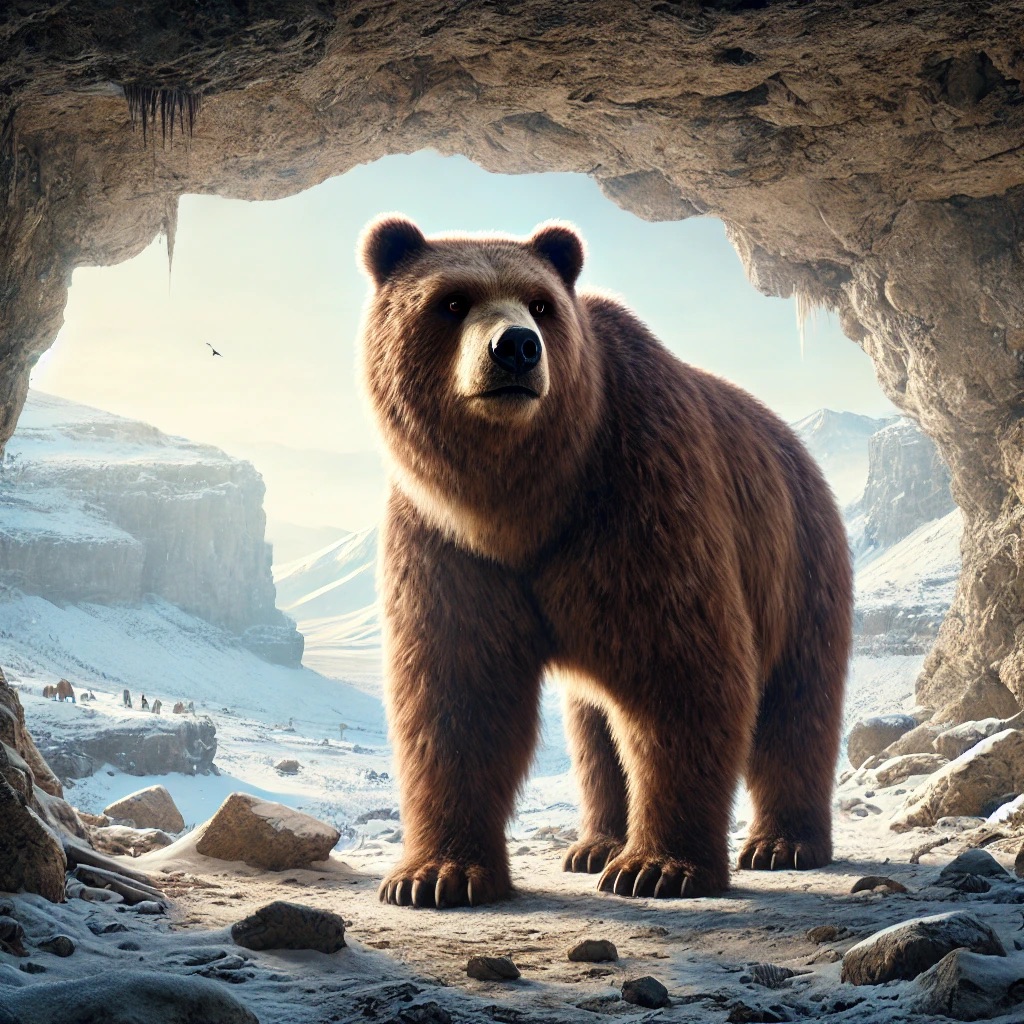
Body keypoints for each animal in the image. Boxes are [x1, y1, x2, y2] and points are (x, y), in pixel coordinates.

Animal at [357, 215, 853, 908]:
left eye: (541, 304)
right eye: (452, 301)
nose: (517, 346)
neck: (522, 503)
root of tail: (801, 450)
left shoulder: (639, 500)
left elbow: (682, 671)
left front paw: (658, 867)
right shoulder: (445, 544)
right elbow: (457, 694)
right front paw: (435, 876)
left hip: (799, 565)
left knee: (796, 705)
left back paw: (782, 844)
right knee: (594, 732)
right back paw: (595, 845)